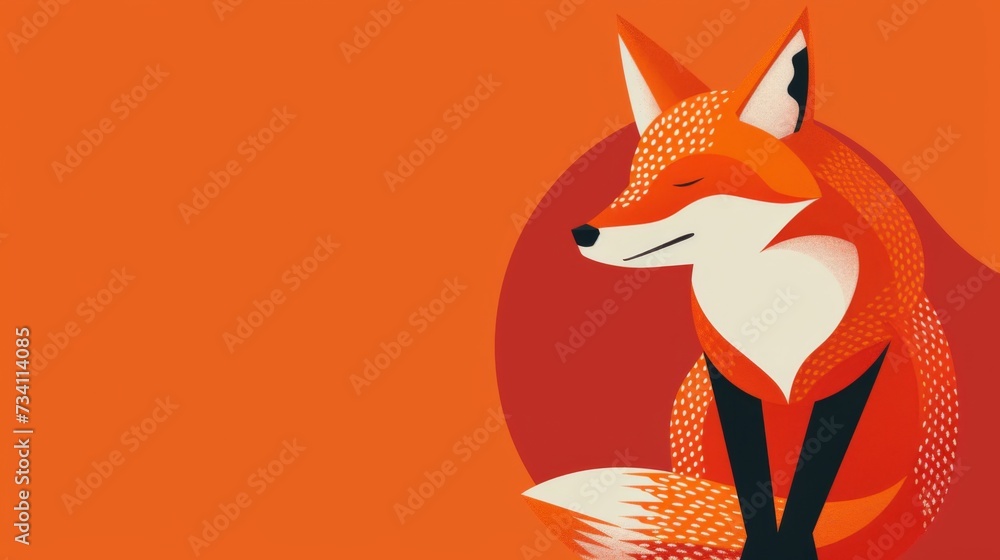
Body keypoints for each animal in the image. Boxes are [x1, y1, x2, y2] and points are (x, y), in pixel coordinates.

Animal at [522, 11, 959, 560]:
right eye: (634, 178)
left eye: (686, 182)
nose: (582, 233)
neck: (773, 303)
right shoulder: (726, 374)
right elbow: (752, 491)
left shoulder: (859, 371)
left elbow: (807, 491)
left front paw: (789, 548)